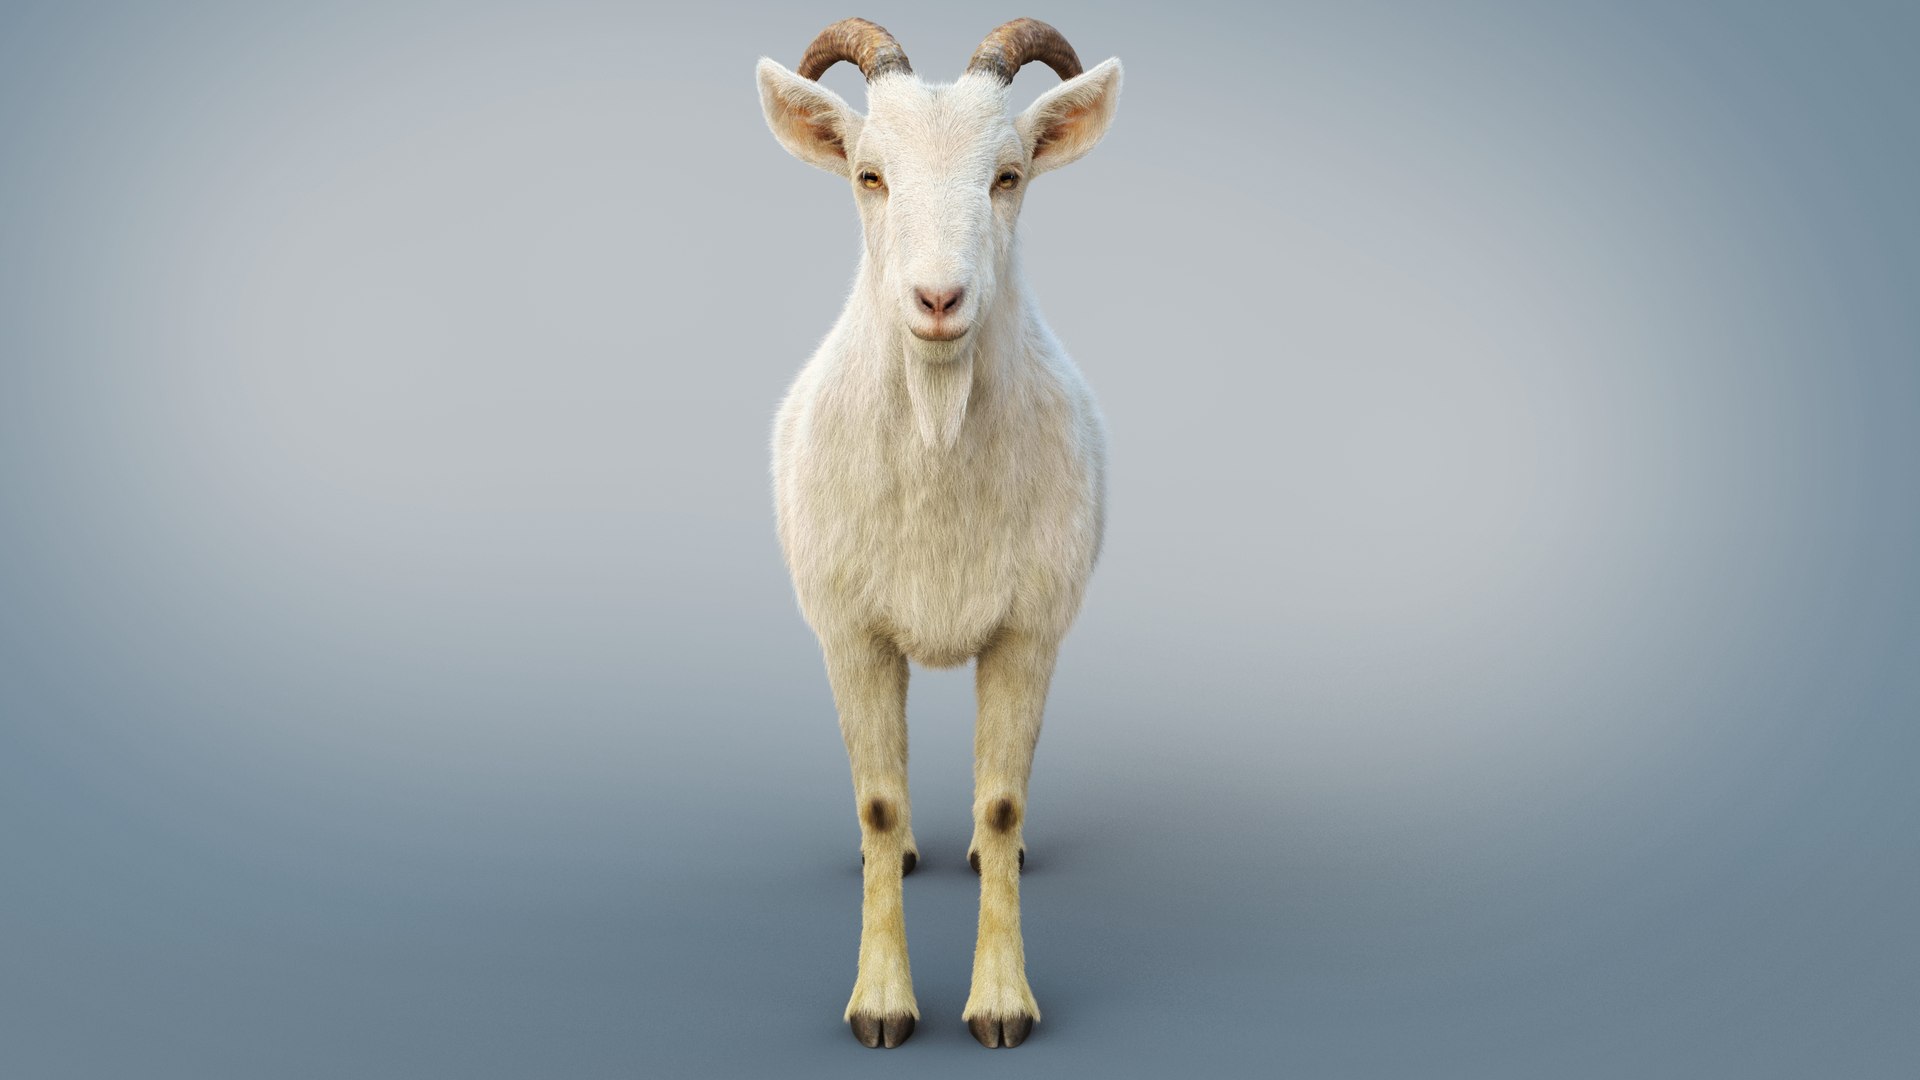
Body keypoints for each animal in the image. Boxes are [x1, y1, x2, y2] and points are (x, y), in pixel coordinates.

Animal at [757, 18, 1121, 1049]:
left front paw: (1000, 1004)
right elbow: (880, 806)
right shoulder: (852, 634)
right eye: (868, 175)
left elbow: (998, 807)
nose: (938, 300)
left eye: (1009, 175)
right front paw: (880, 1004)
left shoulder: (1029, 633)